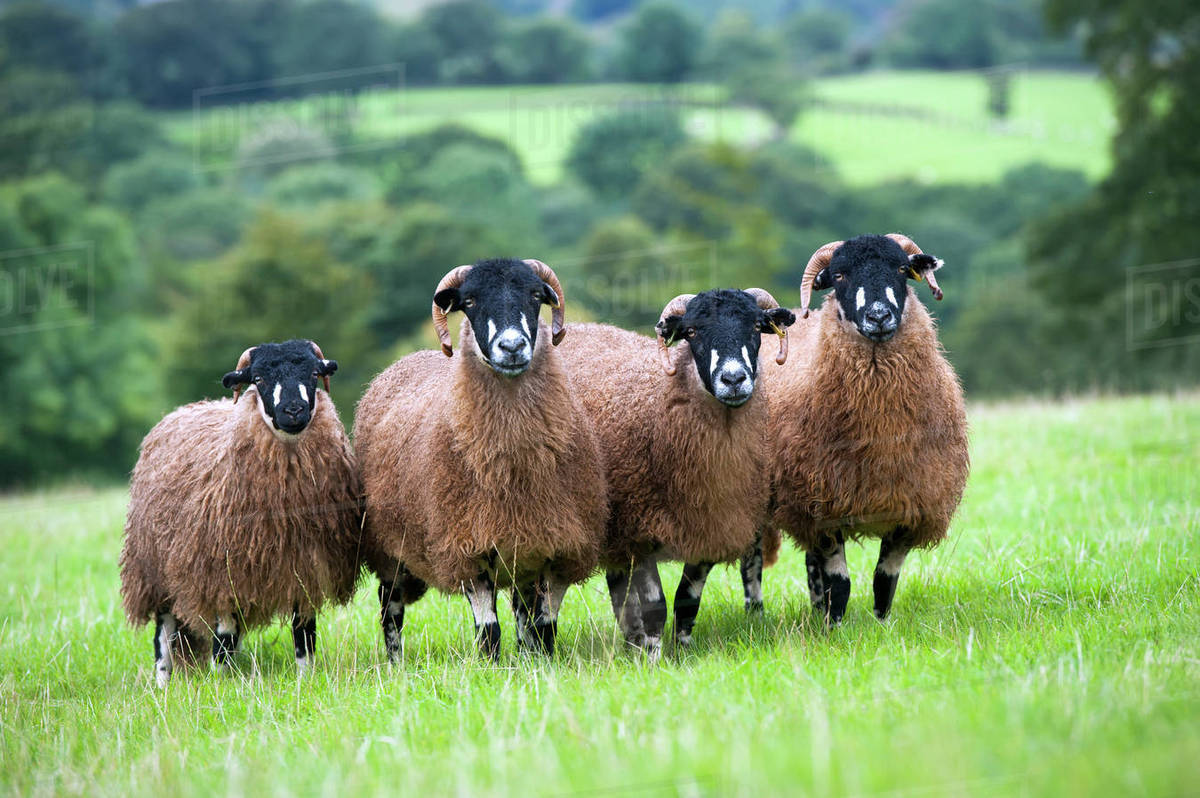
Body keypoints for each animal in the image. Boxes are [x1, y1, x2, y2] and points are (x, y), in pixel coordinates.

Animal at [119, 339, 360, 687]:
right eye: (258, 379)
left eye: (314, 373)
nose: (293, 411)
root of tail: (182, 409)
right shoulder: (221, 574)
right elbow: (223, 640)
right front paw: (222, 685)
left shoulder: (306, 568)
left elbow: (304, 634)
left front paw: (306, 680)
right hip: (154, 572)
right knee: (164, 636)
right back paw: (163, 684)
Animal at [355, 258, 607, 663]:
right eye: (470, 301)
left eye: (535, 295)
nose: (512, 346)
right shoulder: (466, 548)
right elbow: (489, 630)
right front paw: (492, 668)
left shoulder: (553, 547)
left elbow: (542, 627)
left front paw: (538, 665)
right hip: (389, 551)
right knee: (389, 607)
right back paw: (395, 663)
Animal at [556, 289, 796, 657]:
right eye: (692, 331)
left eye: (757, 326)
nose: (734, 379)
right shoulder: (639, 528)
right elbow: (655, 605)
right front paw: (654, 657)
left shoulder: (711, 526)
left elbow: (687, 599)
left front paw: (681, 648)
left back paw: (631, 641)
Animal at [740, 233, 969, 625]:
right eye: (840, 275)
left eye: (901, 269)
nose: (878, 316)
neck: (881, 429)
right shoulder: (825, 507)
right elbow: (841, 582)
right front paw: (836, 628)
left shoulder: (911, 505)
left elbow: (884, 578)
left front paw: (881, 623)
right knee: (751, 561)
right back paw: (757, 616)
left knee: (810, 564)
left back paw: (815, 609)